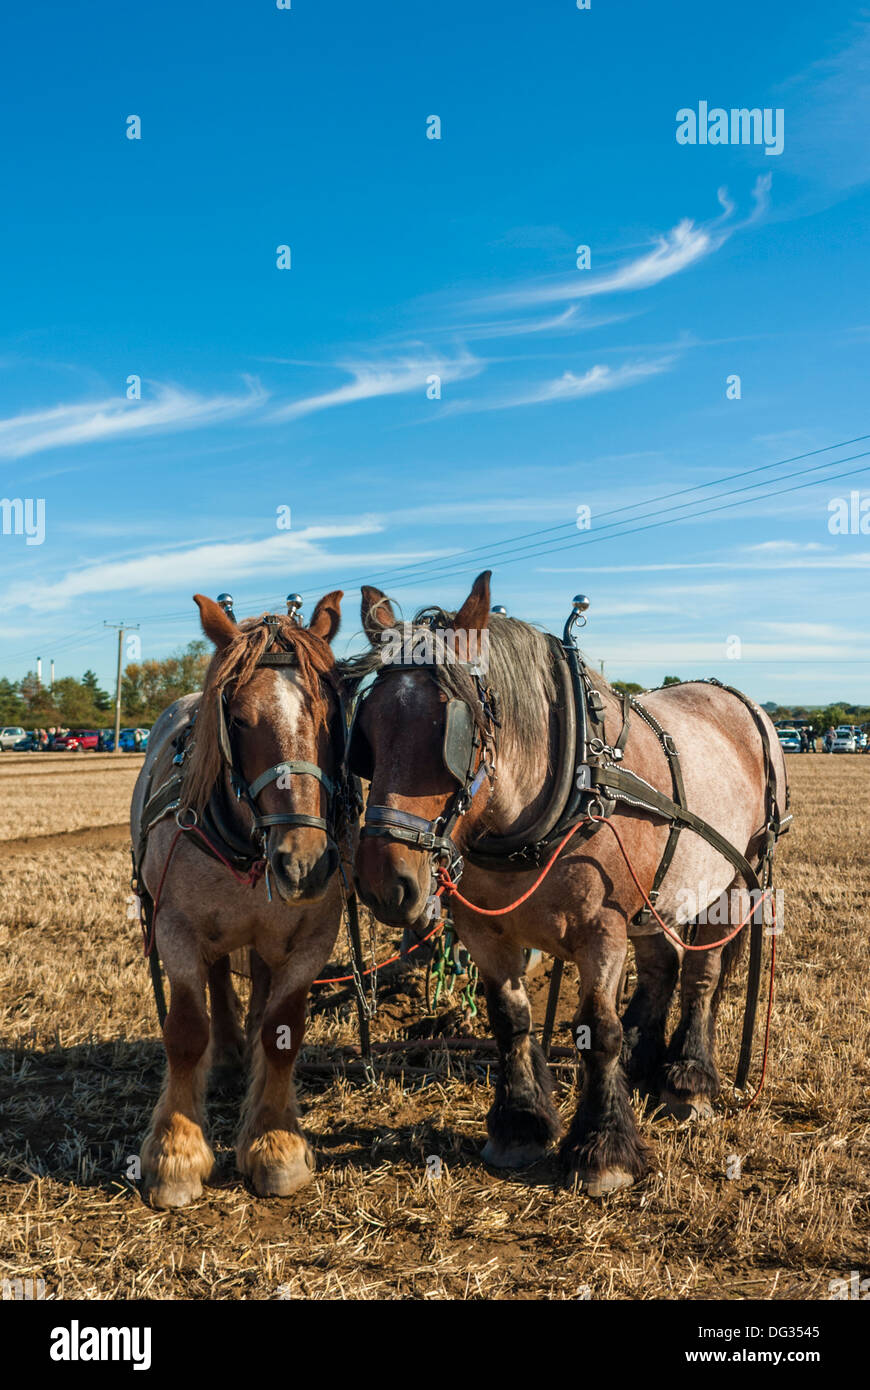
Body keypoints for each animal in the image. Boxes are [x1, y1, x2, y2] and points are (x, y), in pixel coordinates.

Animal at [131, 591, 348, 1209]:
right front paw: (175, 1153)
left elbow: (283, 1031)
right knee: (219, 974)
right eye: (241, 721)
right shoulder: (174, 925)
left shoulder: (311, 936)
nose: (304, 863)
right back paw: (228, 1051)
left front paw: (275, 1143)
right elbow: (185, 1032)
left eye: (330, 717)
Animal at [347, 571, 787, 1196]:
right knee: (663, 967)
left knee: (700, 976)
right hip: (658, 893)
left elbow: (596, 1028)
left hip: (730, 885)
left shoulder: (601, 928)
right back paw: (644, 1060)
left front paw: (603, 1149)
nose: (387, 883)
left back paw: (687, 1079)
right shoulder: (483, 932)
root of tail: (742, 705)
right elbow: (510, 1021)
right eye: (367, 732)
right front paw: (520, 1125)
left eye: (452, 733)